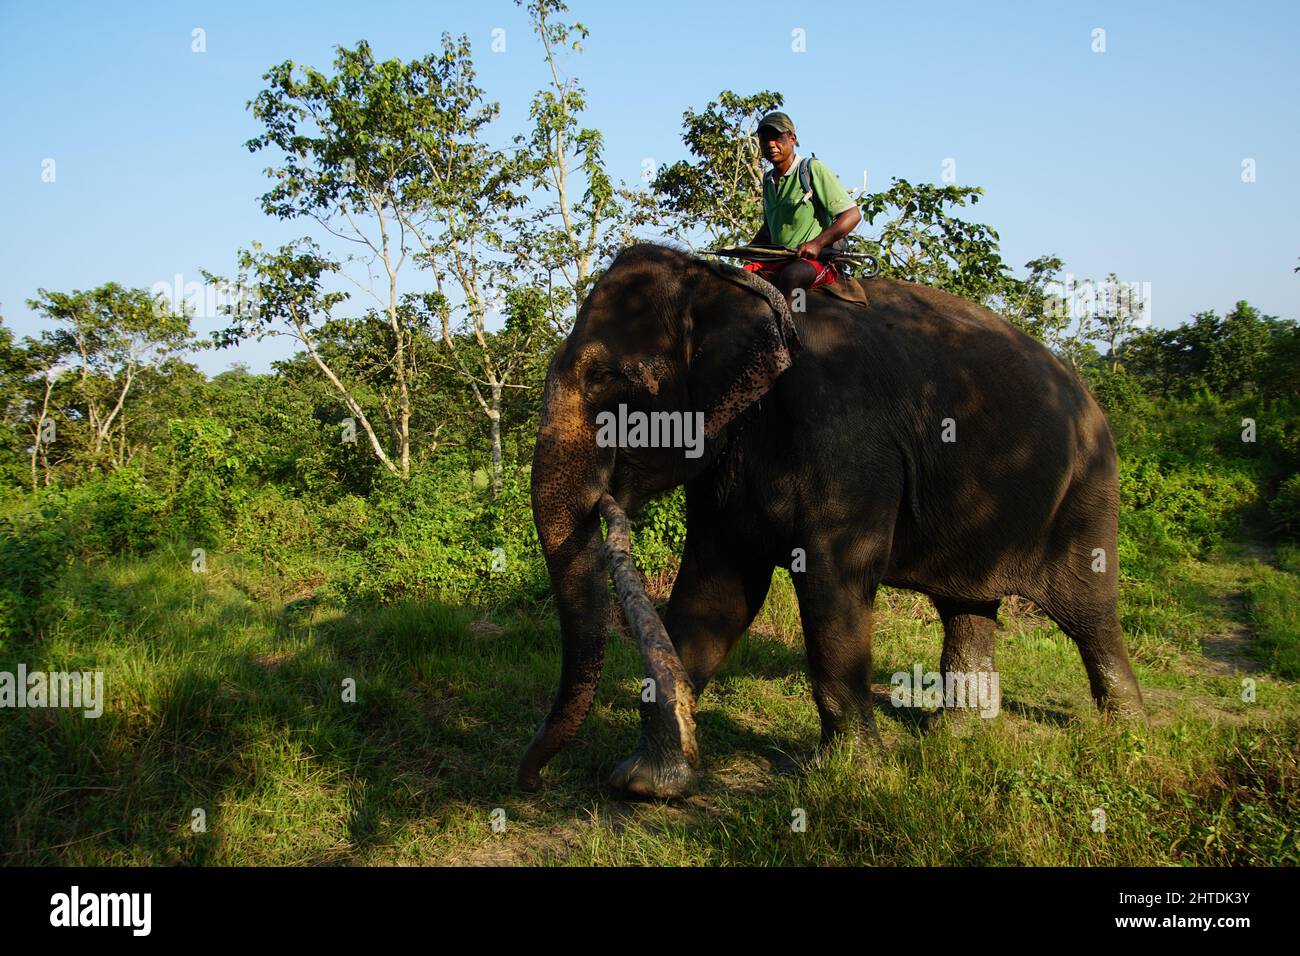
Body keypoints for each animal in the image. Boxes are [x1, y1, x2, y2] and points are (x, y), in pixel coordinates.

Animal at [518, 242, 1143, 799]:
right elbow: (716, 590)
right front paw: (648, 783)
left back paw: (1127, 735)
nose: (531, 779)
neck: (726, 287)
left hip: (1089, 491)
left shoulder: (845, 434)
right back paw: (955, 735)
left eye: (611, 384)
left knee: (1089, 613)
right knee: (966, 604)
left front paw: (855, 776)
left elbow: (832, 580)